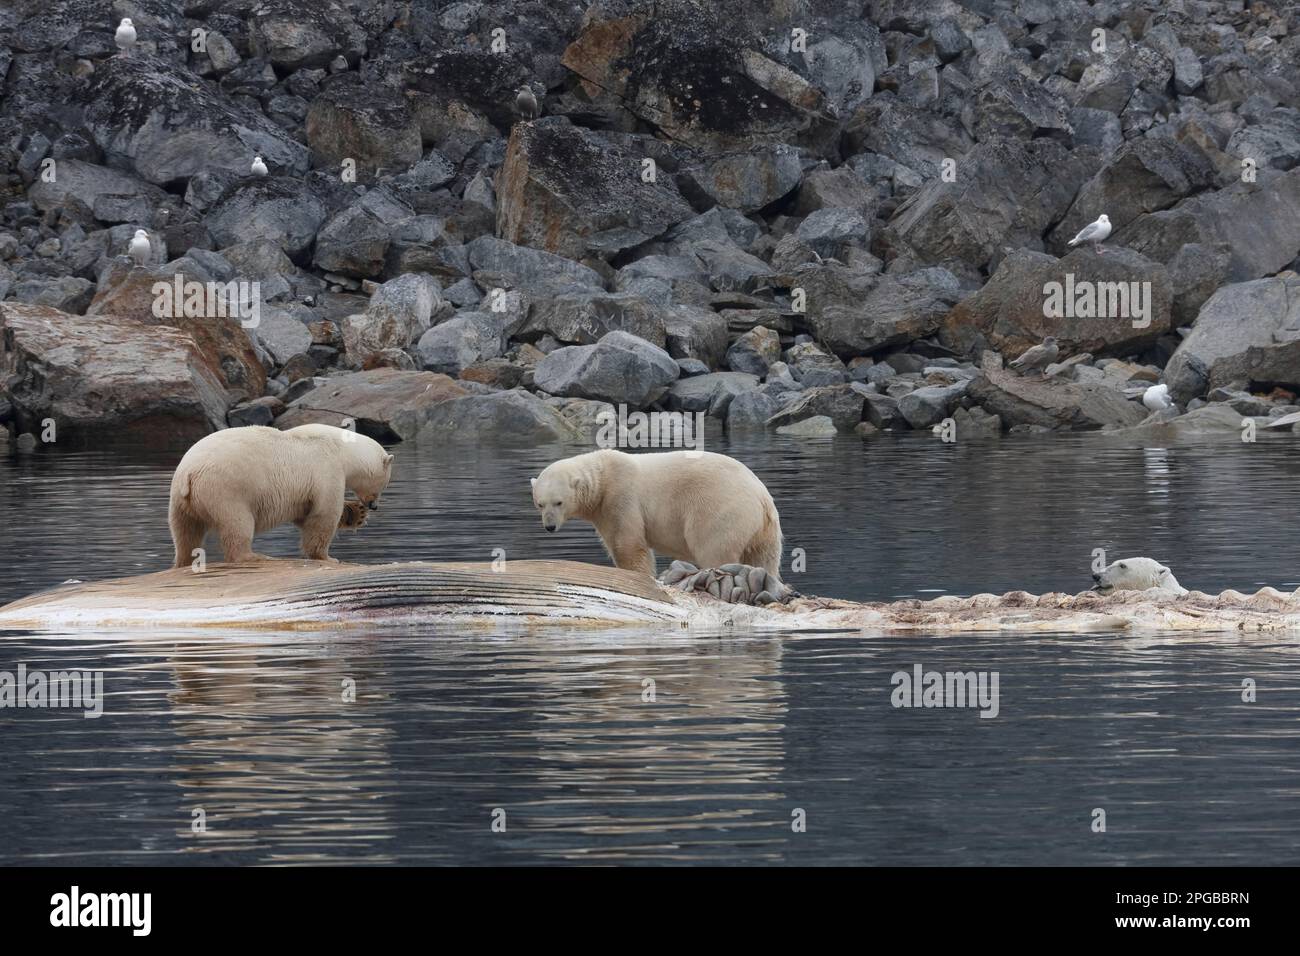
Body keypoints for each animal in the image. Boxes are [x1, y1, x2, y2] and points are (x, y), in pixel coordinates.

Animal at [168, 423, 393, 567]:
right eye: (384, 482)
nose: (373, 505)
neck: (344, 450)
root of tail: (189, 473)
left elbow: (304, 513)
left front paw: (357, 513)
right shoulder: (327, 468)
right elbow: (322, 515)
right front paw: (327, 558)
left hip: (181, 500)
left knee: (186, 531)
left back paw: (184, 561)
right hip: (225, 489)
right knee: (237, 523)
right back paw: (257, 556)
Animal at [530, 449, 782, 579]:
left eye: (559, 502)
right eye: (540, 504)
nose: (549, 527)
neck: (603, 476)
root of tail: (760, 496)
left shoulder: (621, 498)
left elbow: (628, 545)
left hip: (720, 509)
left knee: (714, 548)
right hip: (766, 529)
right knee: (764, 558)